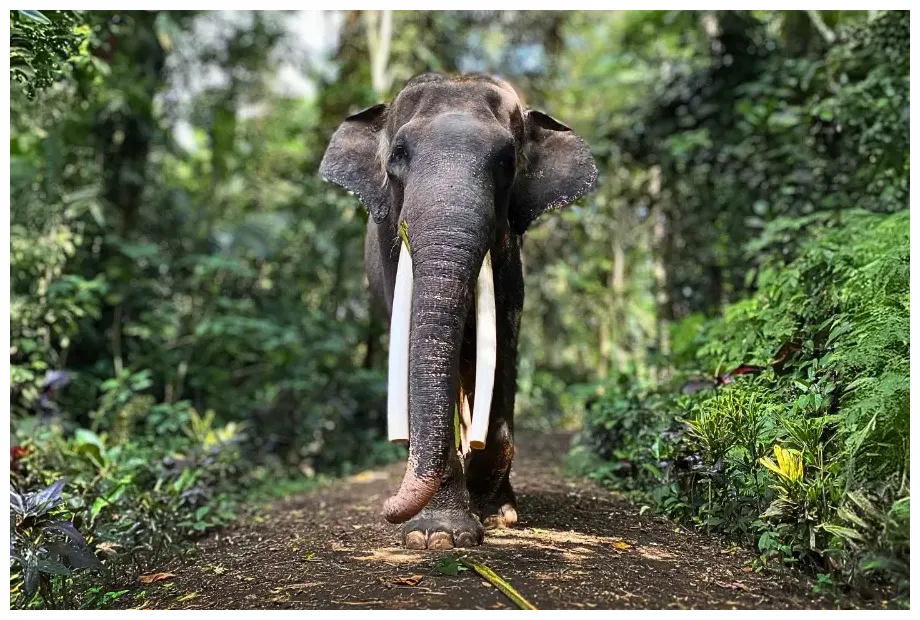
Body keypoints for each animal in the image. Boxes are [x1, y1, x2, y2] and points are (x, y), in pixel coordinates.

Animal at [320, 72, 597, 549]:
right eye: (398, 155)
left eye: (507, 161)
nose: (387, 510)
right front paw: (435, 536)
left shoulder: (511, 263)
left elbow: (502, 350)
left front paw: (495, 513)